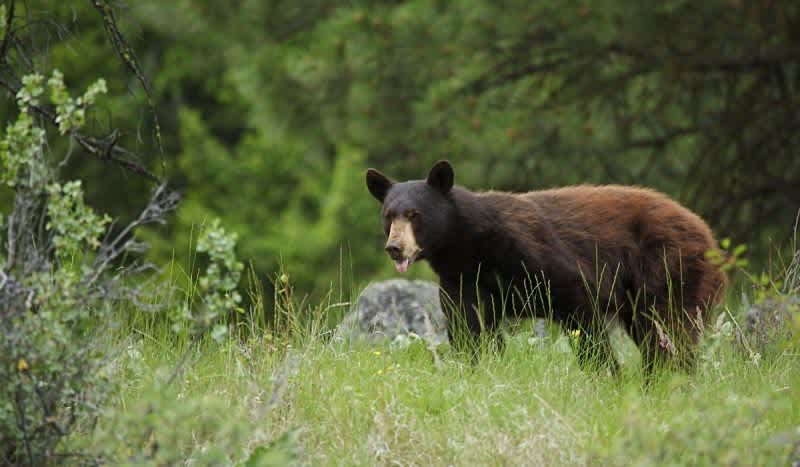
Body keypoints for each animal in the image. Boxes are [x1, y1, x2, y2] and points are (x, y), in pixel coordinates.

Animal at [366, 160, 727, 374]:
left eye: (415, 214)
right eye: (388, 215)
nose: (395, 248)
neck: (467, 245)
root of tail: (706, 232)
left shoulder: (535, 254)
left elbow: (580, 304)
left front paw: (605, 372)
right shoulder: (461, 279)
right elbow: (469, 327)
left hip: (668, 267)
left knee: (669, 328)